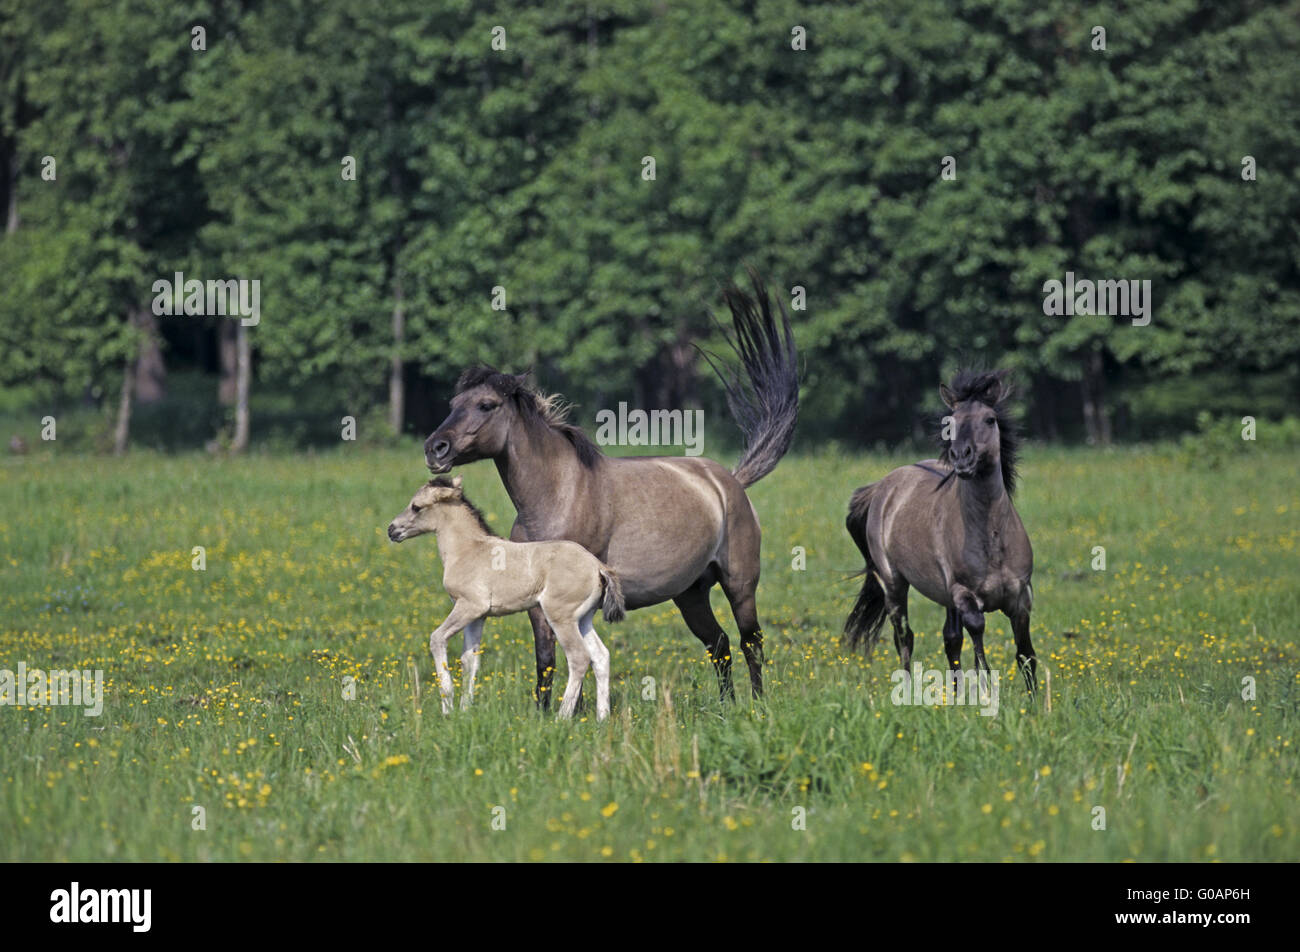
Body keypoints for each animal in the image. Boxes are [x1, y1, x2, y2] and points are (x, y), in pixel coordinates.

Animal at [387, 476, 626, 720]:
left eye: (416, 506)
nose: (391, 530)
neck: (467, 550)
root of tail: (598, 567)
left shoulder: (469, 606)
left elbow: (437, 639)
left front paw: (447, 707)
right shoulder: (477, 617)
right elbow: (470, 659)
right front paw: (464, 710)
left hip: (561, 617)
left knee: (579, 657)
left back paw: (562, 717)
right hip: (583, 619)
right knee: (601, 656)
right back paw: (602, 717)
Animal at [423, 270, 798, 706]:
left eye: (486, 405)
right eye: (454, 403)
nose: (435, 448)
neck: (558, 497)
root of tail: (730, 481)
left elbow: (576, 661)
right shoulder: (539, 603)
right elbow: (546, 659)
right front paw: (545, 711)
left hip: (739, 583)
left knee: (749, 641)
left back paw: (757, 704)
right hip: (690, 592)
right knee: (718, 644)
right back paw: (727, 706)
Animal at [843, 369, 1038, 694]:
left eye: (990, 419)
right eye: (951, 421)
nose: (962, 457)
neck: (993, 539)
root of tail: (883, 486)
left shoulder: (1020, 599)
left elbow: (1025, 655)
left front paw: (1035, 701)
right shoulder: (963, 595)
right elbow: (977, 635)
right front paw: (985, 691)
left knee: (951, 639)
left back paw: (956, 695)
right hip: (894, 584)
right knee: (905, 637)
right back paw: (909, 690)